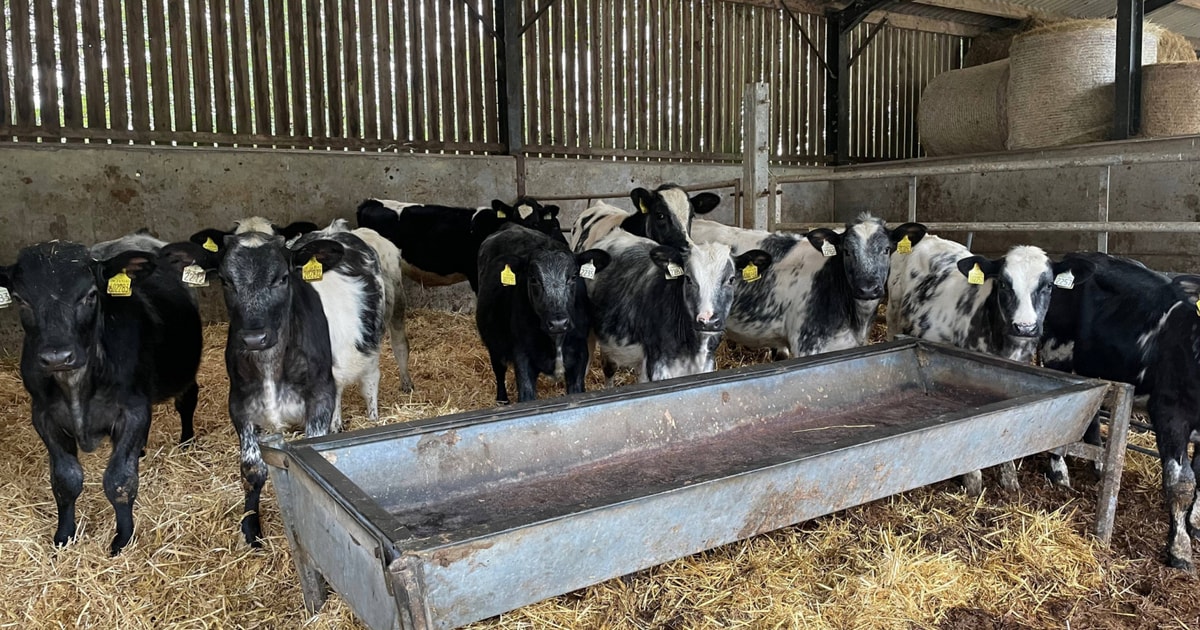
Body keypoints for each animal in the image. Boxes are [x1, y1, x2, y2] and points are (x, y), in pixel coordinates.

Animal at [0, 241, 202, 555]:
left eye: (91, 295)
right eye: (21, 299)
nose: (57, 356)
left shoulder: (133, 411)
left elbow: (119, 480)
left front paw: (123, 538)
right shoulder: (43, 416)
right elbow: (65, 479)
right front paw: (64, 534)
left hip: (184, 373)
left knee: (186, 401)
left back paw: (186, 442)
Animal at [159, 232, 340, 547]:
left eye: (282, 278)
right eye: (226, 280)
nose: (255, 337)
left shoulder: (322, 395)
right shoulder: (240, 404)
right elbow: (252, 470)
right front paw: (251, 527)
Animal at [475, 223, 611, 403]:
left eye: (574, 276)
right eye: (533, 278)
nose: (558, 323)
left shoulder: (580, 356)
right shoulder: (522, 356)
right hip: (493, 342)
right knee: (499, 370)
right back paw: (502, 400)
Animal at [586, 229, 772, 384]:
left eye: (731, 279)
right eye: (688, 278)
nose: (708, 321)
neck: (692, 348)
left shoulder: (706, 364)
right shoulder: (657, 367)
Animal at [886, 234, 1094, 495]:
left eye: (1048, 285)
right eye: (1004, 284)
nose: (1025, 327)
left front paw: (1010, 481)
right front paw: (973, 482)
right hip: (893, 316)